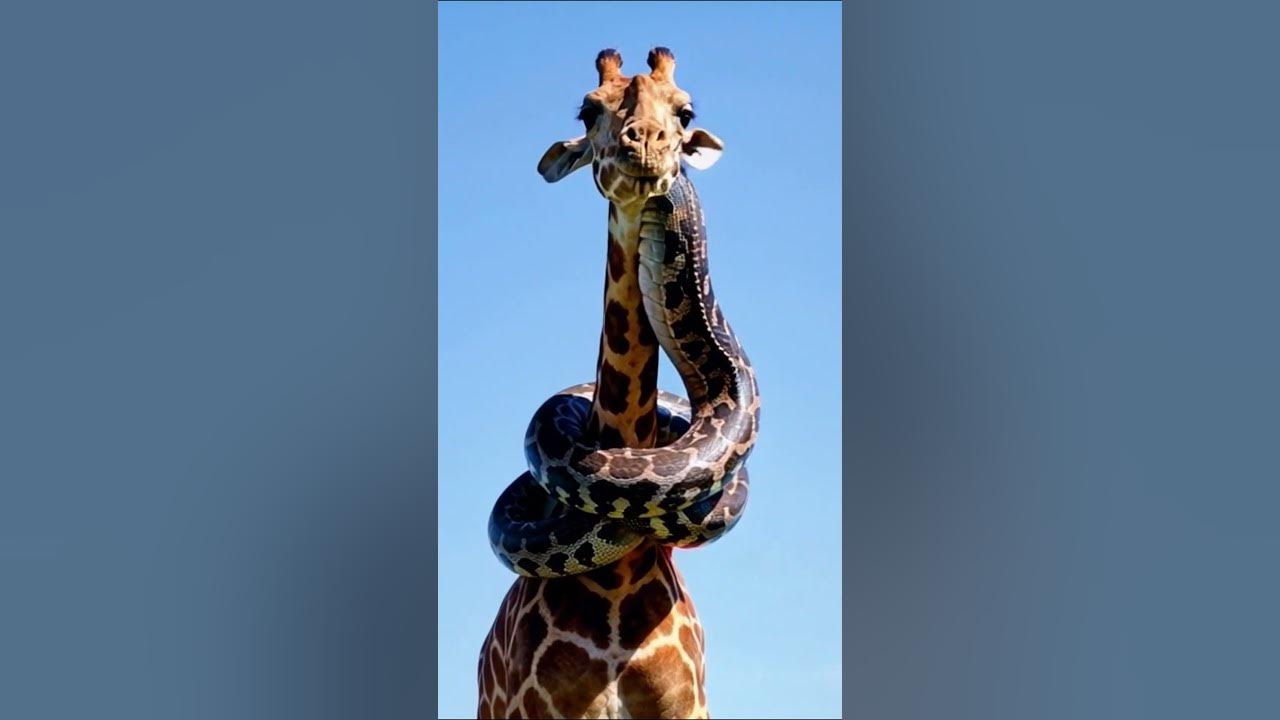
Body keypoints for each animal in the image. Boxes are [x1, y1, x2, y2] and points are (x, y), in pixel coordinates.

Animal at [477, 48, 728, 720]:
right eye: (589, 110)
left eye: (684, 111)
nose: (647, 145)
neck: (617, 583)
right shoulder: (540, 709)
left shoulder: (688, 707)